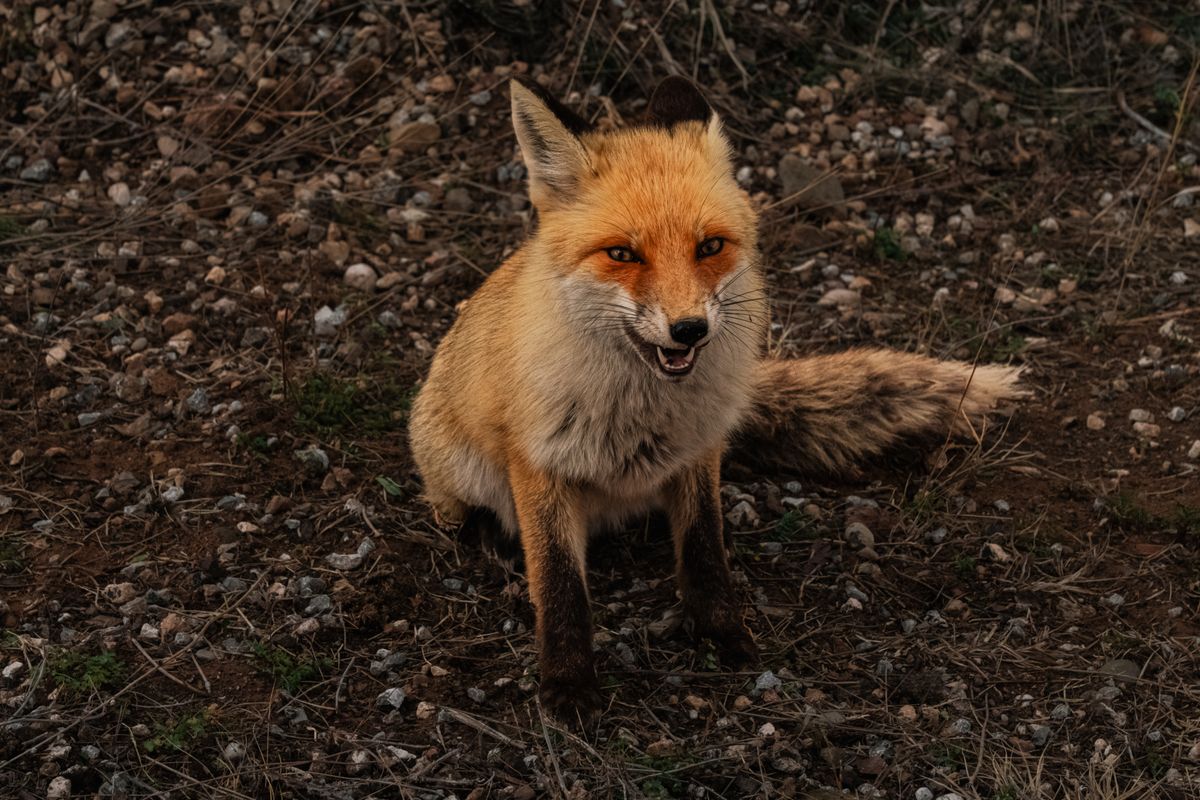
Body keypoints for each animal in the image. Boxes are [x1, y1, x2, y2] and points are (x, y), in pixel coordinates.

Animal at [408, 76, 1023, 725]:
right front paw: (569, 683)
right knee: (459, 511)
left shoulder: (701, 449)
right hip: (455, 465)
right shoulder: (538, 462)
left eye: (709, 246)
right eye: (622, 254)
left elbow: (705, 547)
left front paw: (719, 631)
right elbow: (557, 581)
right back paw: (490, 534)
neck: (643, 410)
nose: (689, 330)